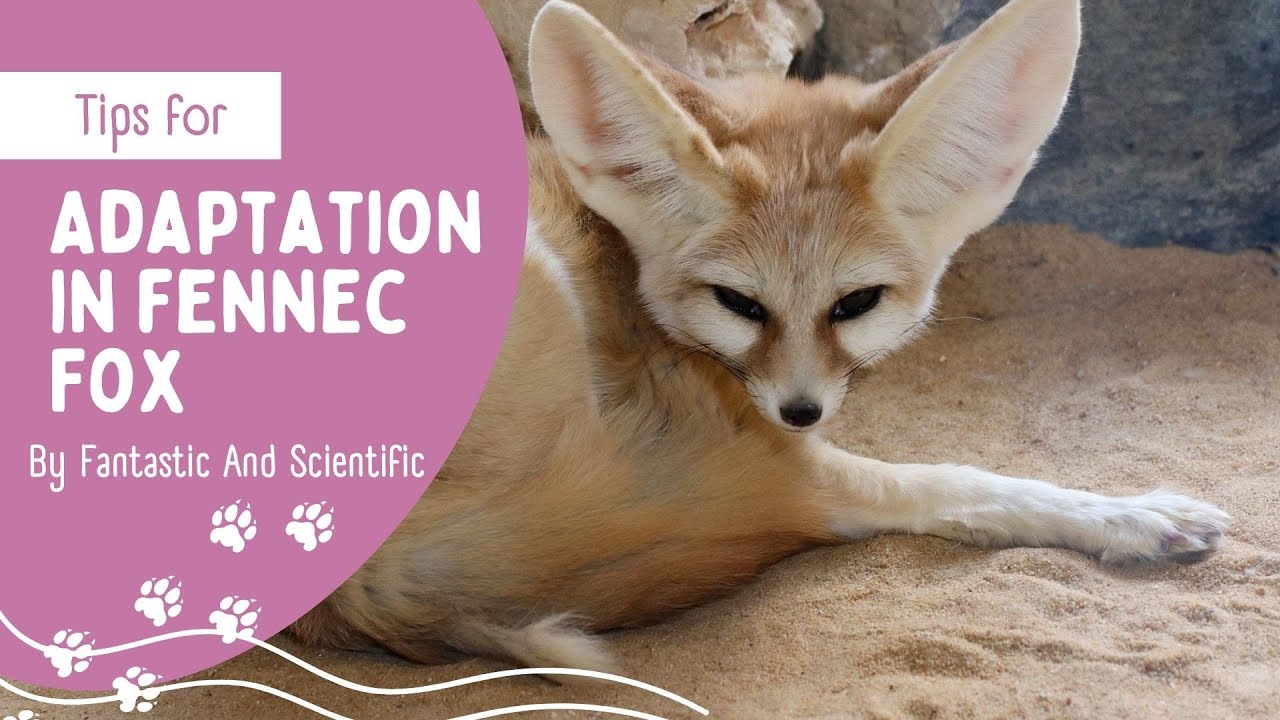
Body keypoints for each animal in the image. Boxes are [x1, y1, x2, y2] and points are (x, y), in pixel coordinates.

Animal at [290, 0, 1229, 671]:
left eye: (857, 303)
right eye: (739, 304)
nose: (802, 410)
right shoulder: (778, 448)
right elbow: (966, 483)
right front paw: (1124, 513)